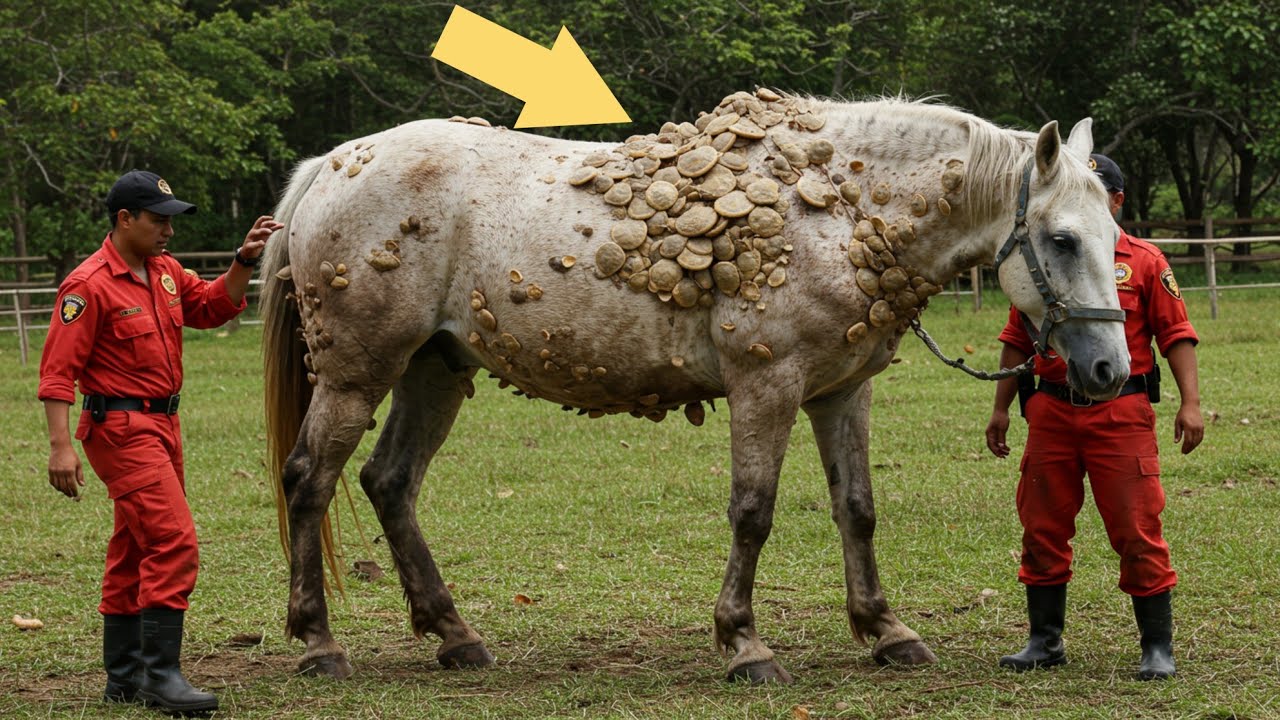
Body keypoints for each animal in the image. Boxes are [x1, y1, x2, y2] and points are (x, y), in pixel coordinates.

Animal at [261, 91, 1129, 684]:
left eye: (1112, 235)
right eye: (1061, 239)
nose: (1110, 371)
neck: (843, 211)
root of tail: (333, 163)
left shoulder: (841, 393)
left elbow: (858, 509)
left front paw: (886, 630)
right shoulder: (766, 385)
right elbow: (754, 512)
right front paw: (744, 642)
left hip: (436, 369)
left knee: (389, 483)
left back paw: (455, 634)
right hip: (357, 373)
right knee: (310, 481)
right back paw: (319, 641)